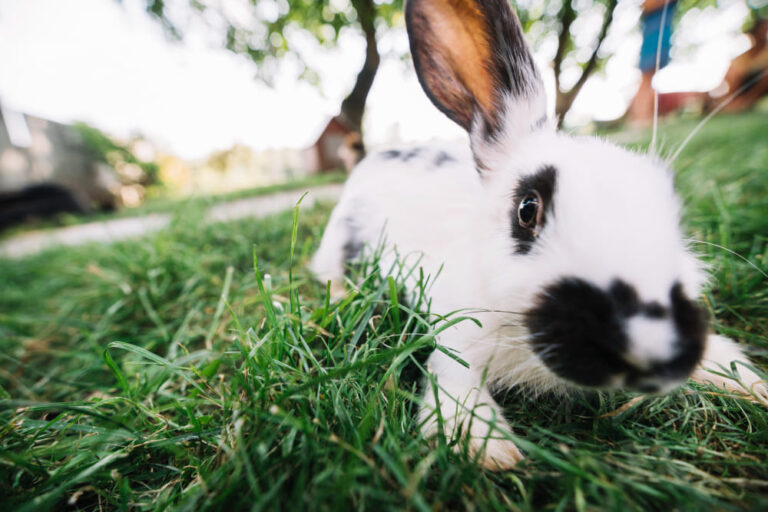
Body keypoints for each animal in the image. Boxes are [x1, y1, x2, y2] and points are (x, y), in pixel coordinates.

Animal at [310, 0, 768, 470]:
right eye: (527, 210)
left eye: (672, 208)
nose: (651, 346)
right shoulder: (456, 336)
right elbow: (453, 377)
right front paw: (485, 448)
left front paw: (748, 382)